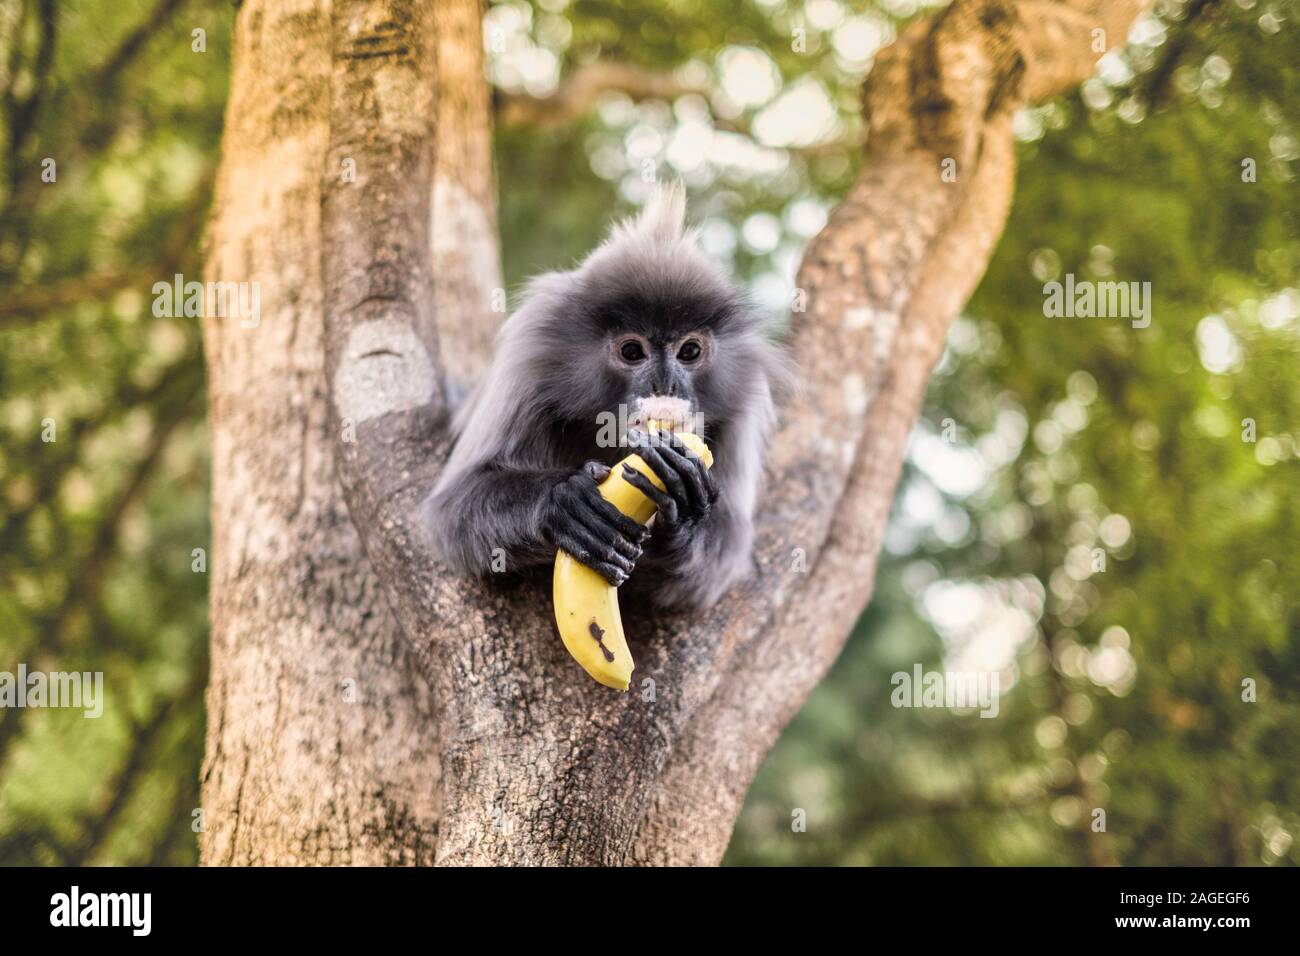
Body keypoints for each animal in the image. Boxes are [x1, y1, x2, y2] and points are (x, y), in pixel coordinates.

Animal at [426, 183, 790, 610]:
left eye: (689, 351)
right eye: (632, 352)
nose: (665, 385)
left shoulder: (742, 409)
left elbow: (724, 551)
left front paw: (685, 513)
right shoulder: (528, 362)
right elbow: (450, 510)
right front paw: (564, 503)